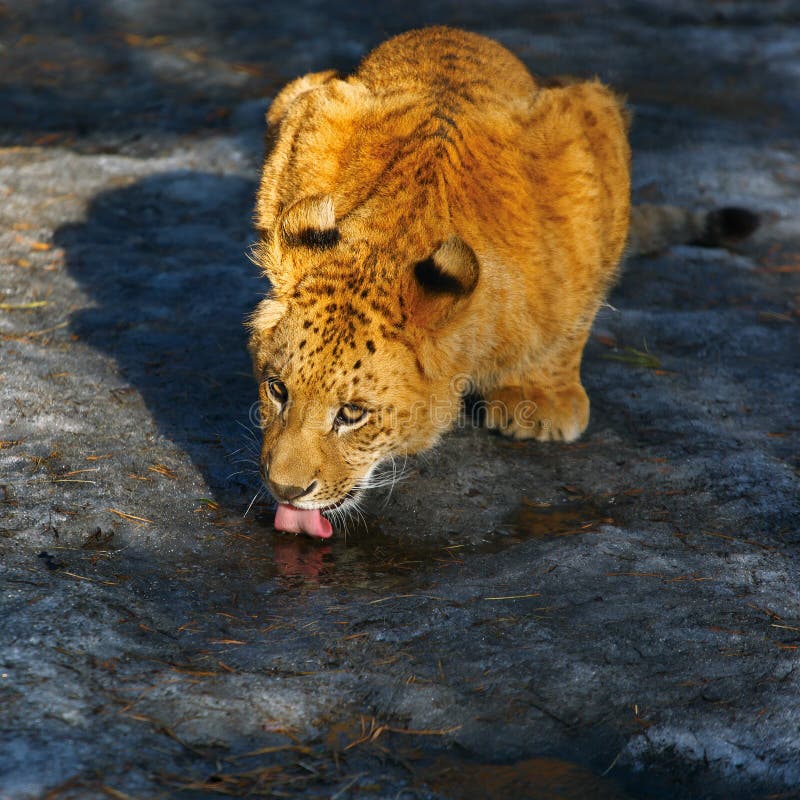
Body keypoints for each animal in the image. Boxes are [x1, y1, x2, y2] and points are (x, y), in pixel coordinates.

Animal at [246, 26, 757, 538]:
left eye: (353, 414)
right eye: (277, 389)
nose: (285, 490)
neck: (395, 234)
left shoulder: (588, 140)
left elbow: (572, 322)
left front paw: (543, 400)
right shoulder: (306, 116)